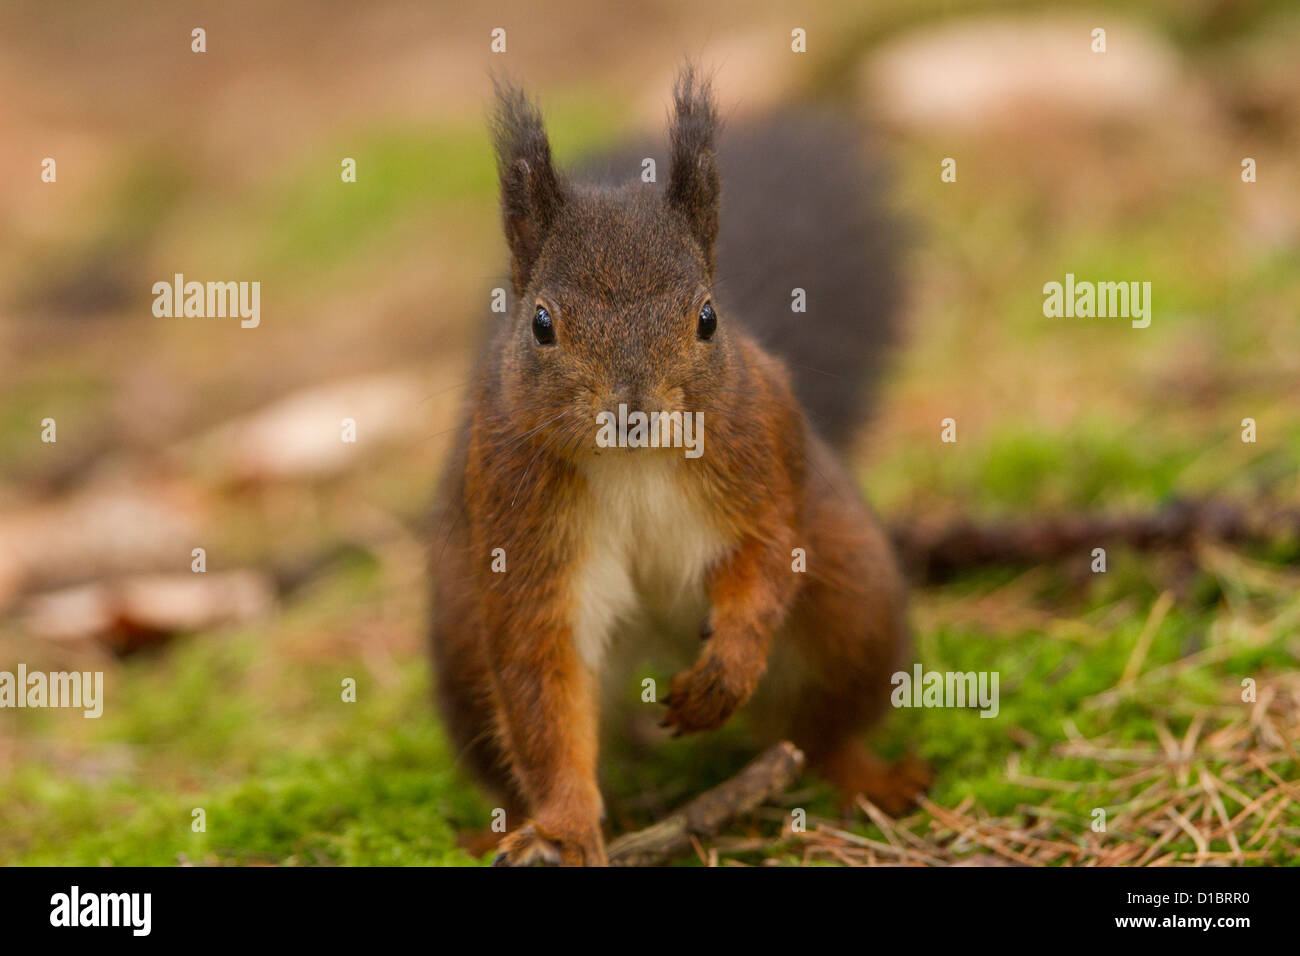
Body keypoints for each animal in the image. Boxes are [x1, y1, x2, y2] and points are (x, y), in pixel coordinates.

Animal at [429, 66, 927, 866]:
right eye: (540, 323)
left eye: (707, 318)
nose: (633, 409)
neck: (633, 463)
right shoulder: (516, 516)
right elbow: (543, 683)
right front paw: (565, 825)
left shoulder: (759, 451)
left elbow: (766, 557)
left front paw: (726, 670)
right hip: (459, 653)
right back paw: (497, 829)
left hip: (854, 604)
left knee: (819, 730)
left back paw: (868, 778)